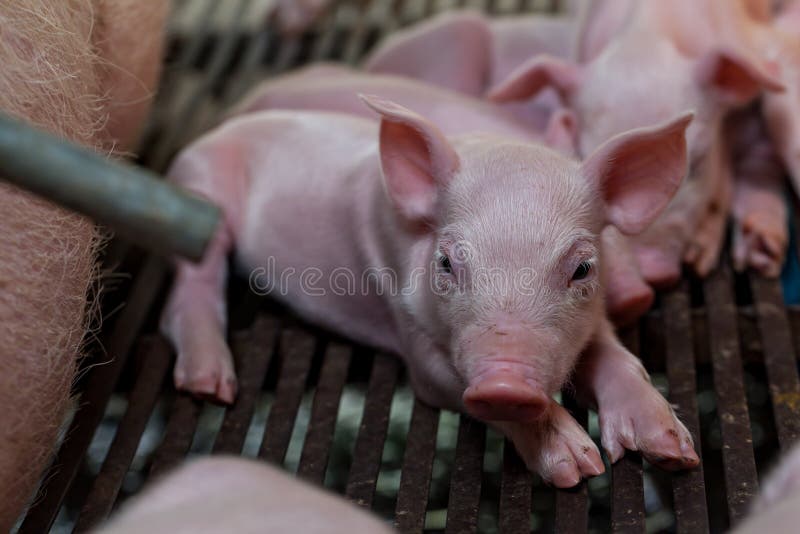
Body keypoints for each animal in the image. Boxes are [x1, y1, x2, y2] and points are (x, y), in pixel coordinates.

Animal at [161, 96, 699, 486]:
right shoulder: (412, 340)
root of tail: (207, 137)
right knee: (191, 285)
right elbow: (448, 383)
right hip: (200, 197)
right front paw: (578, 468)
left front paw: (674, 451)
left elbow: (618, 358)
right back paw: (210, 386)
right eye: (446, 262)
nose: (505, 385)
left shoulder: (593, 320)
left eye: (583, 269)